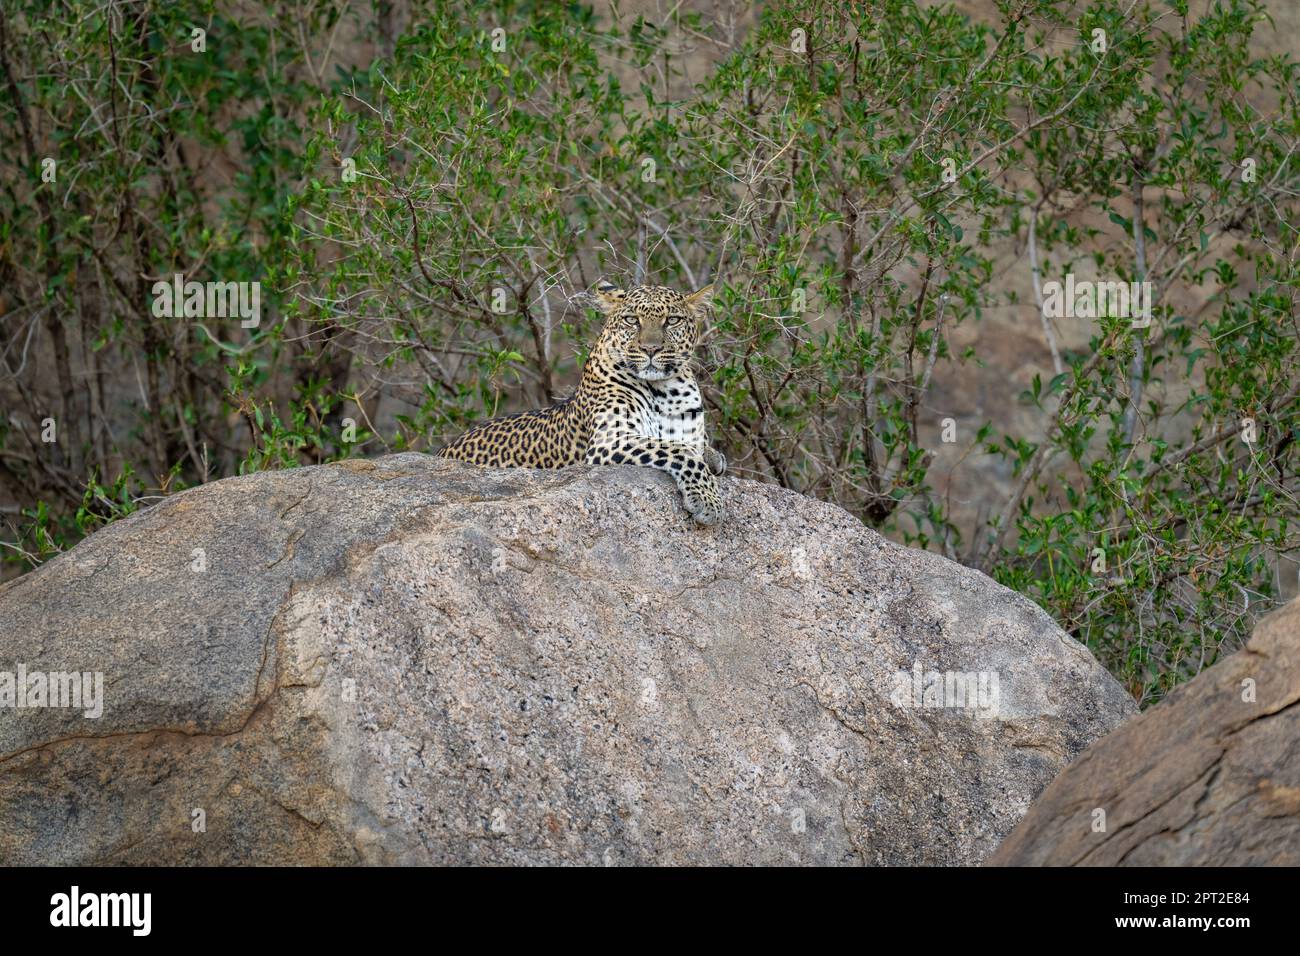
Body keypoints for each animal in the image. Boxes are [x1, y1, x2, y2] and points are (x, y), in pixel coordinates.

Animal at [437, 281, 727, 524]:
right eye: (632, 320)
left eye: (672, 320)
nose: (650, 349)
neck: (665, 391)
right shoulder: (608, 441)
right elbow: (680, 451)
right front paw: (708, 500)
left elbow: (694, 446)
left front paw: (714, 459)